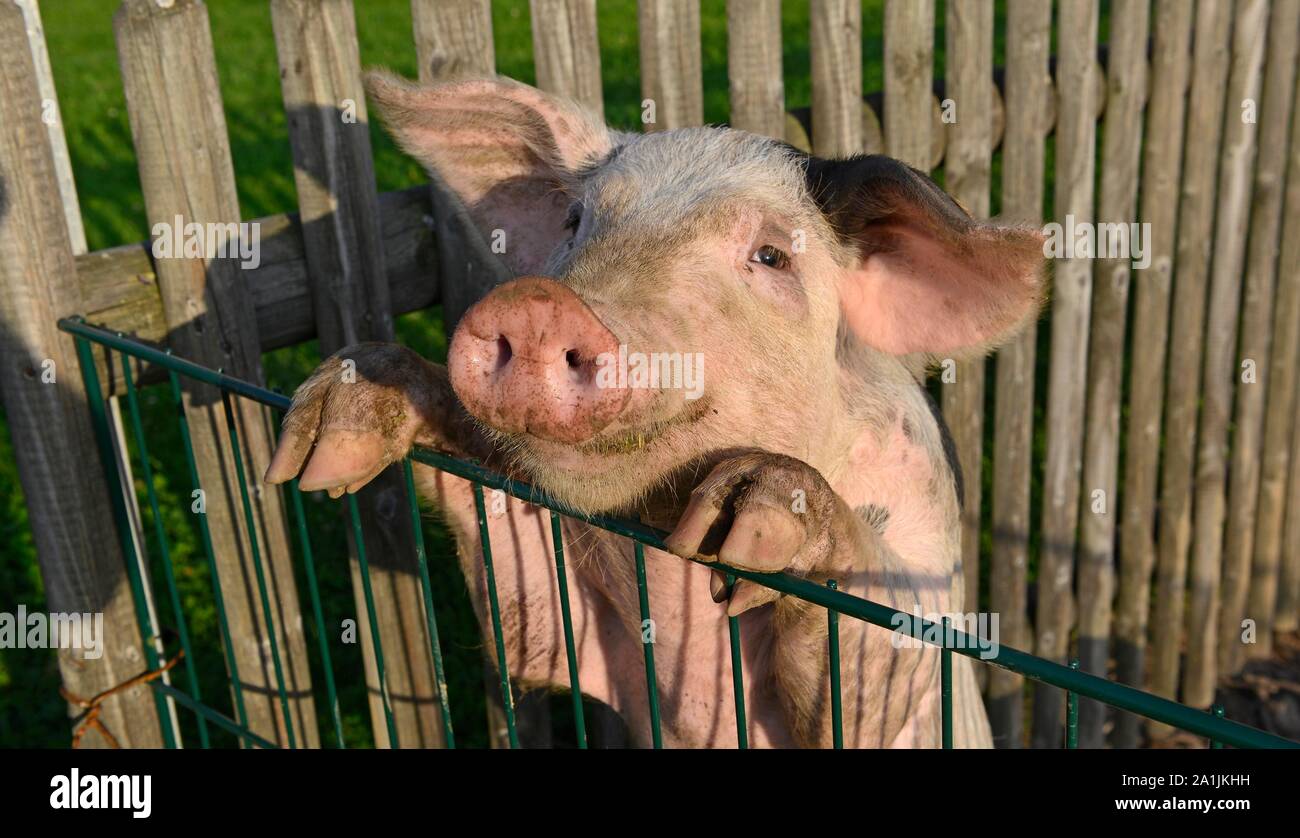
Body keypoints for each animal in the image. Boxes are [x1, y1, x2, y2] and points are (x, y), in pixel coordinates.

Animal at [264, 70, 1046, 748]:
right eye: (575, 221)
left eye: (772, 256)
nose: (539, 305)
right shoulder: (563, 630)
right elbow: (523, 623)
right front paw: (326, 441)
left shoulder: (925, 600)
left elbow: (885, 664)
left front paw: (753, 509)